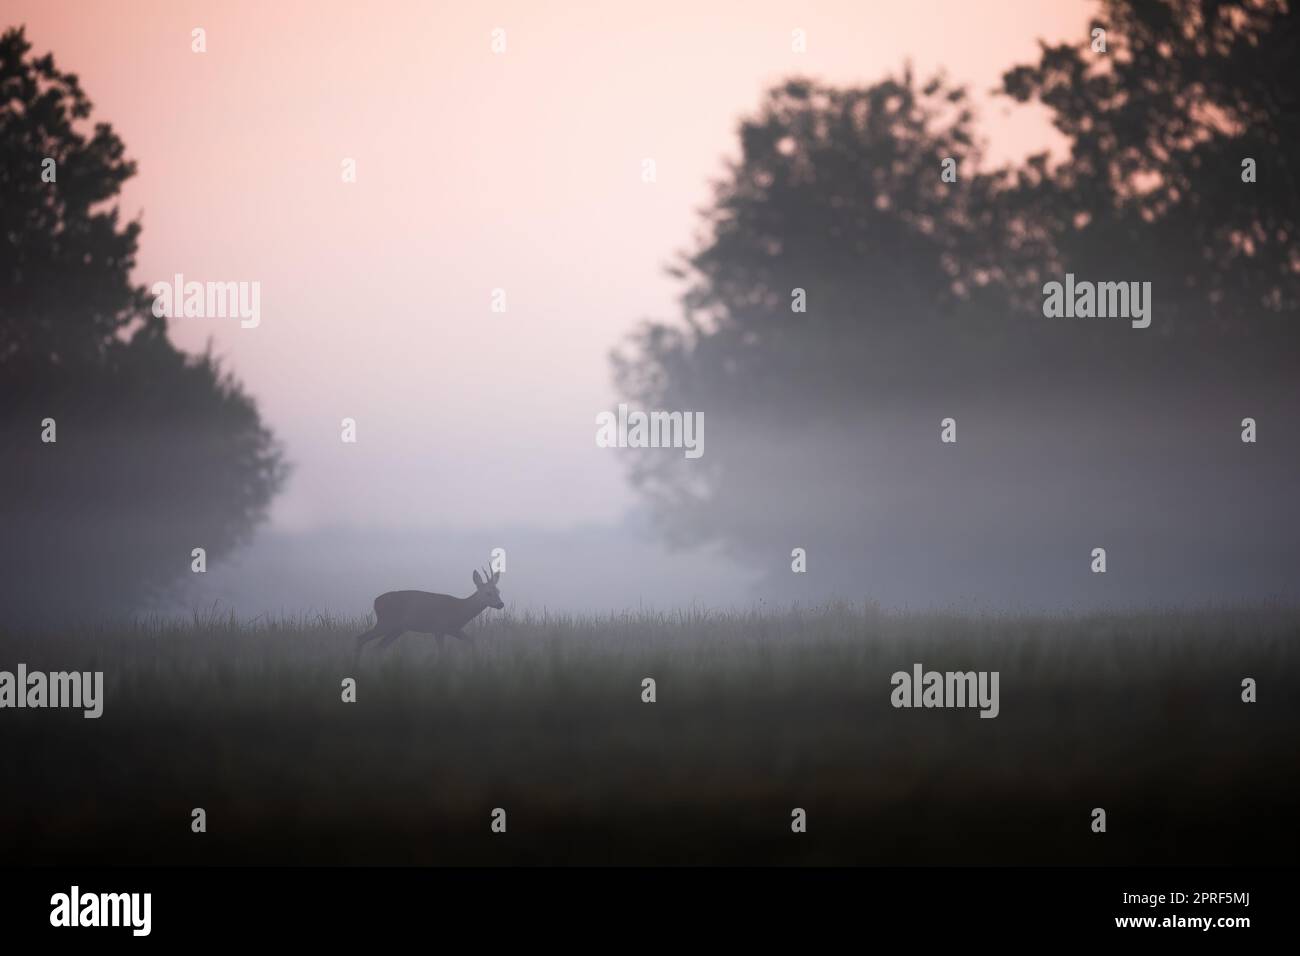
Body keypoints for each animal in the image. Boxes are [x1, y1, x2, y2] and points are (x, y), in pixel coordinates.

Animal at [355, 567, 504, 654]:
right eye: (488, 593)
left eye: (498, 591)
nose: (501, 604)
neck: (460, 610)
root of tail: (375, 602)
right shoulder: (439, 629)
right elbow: (442, 654)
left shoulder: (454, 630)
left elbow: (472, 641)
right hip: (386, 622)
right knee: (361, 638)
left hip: (397, 629)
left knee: (378, 647)